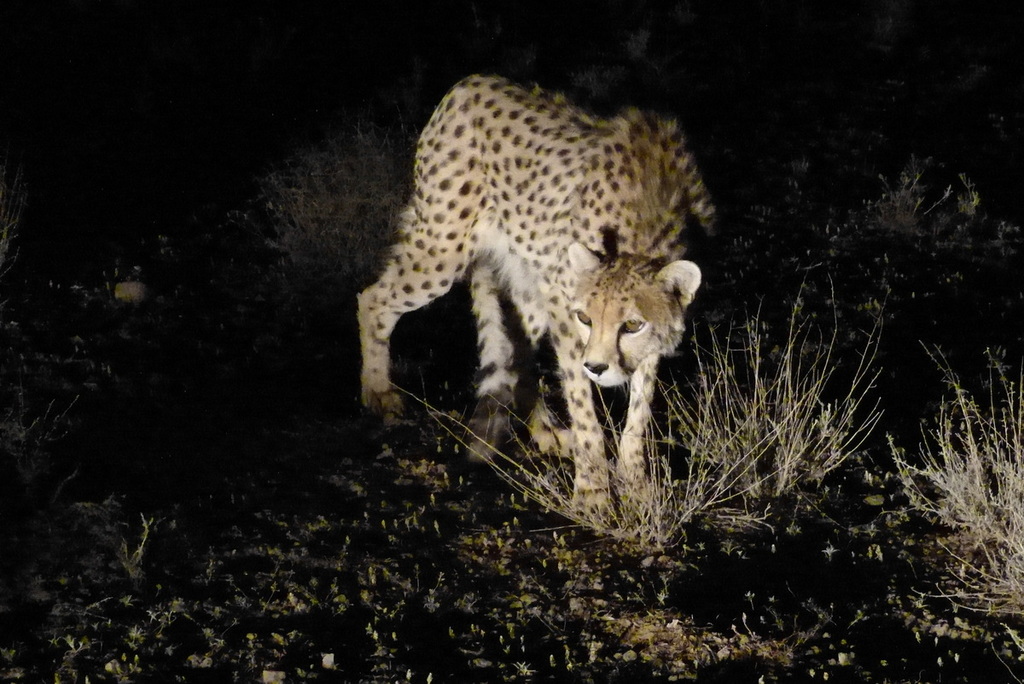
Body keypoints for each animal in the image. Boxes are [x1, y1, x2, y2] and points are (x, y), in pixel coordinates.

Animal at [358, 74, 715, 512]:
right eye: (586, 317)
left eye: (632, 325)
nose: (598, 368)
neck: (642, 223)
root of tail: (469, 83)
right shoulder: (563, 305)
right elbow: (582, 403)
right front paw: (593, 491)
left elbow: (639, 408)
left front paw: (635, 485)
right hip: (441, 250)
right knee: (373, 299)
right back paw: (378, 392)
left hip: (525, 280)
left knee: (515, 355)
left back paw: (543, 431)